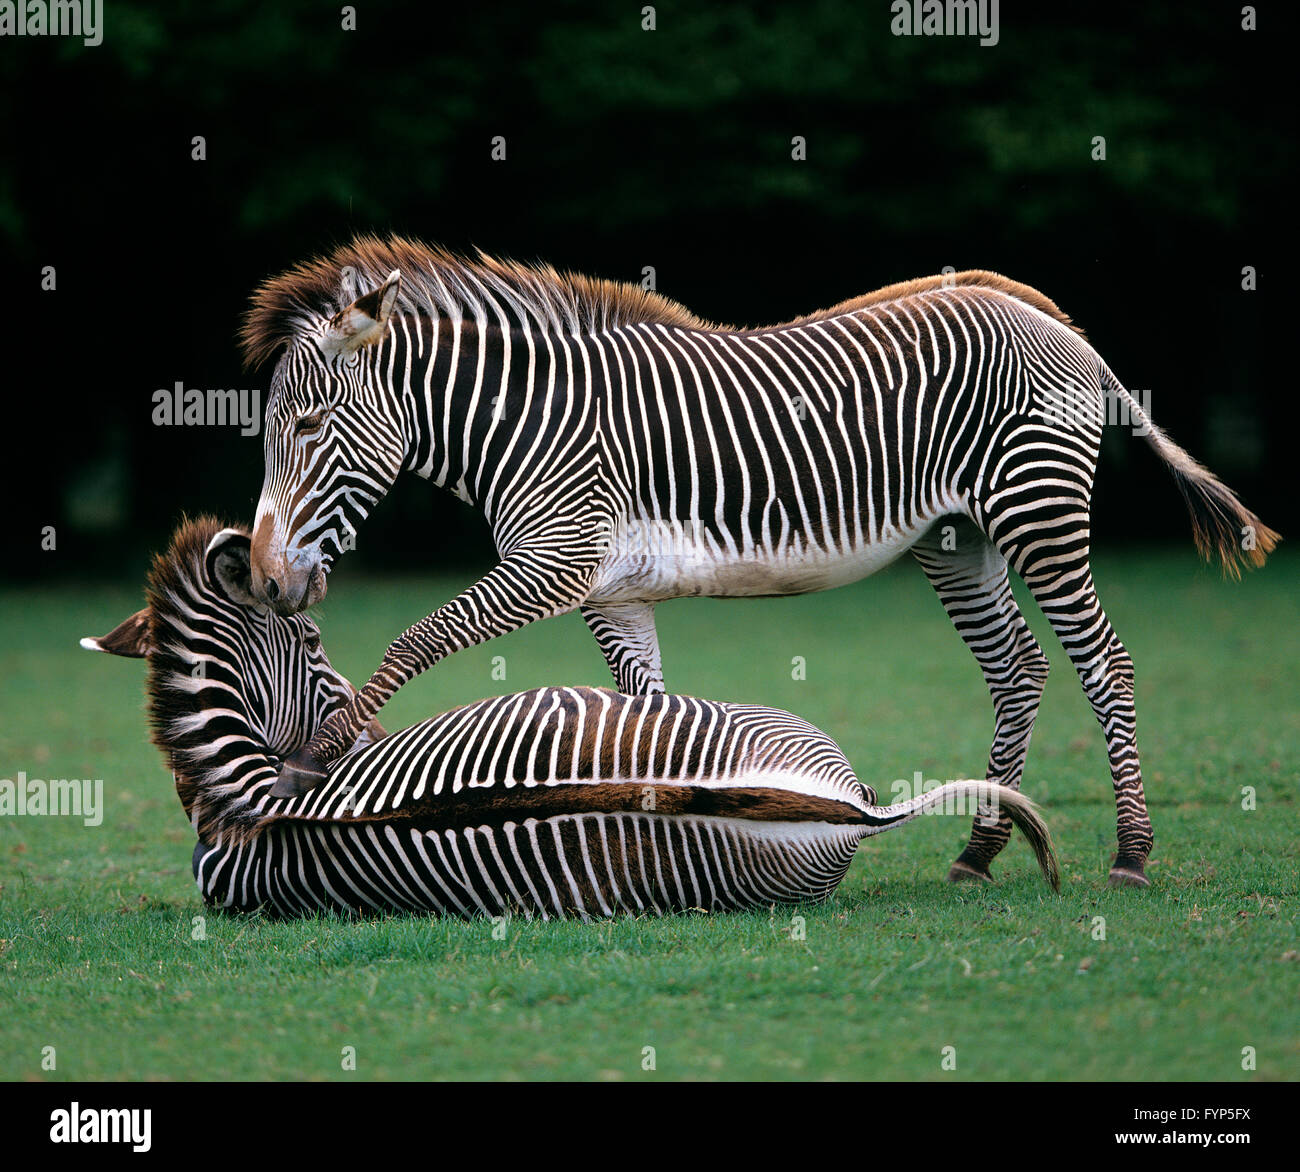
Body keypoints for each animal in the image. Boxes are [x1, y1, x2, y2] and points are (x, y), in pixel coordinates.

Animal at [241, 236, 1279, 889]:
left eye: (311, 426)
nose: (266, 582)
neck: (528, 426)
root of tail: (1051, 318)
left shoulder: (557, 562)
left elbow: (416, 639)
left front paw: (312, 762)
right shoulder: (610, 592)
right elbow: (645, 715)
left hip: (1039, 510)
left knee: (1105, 664)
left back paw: (1132, 854)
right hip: (959, 538)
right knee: (1017, 668)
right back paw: (980, 851)